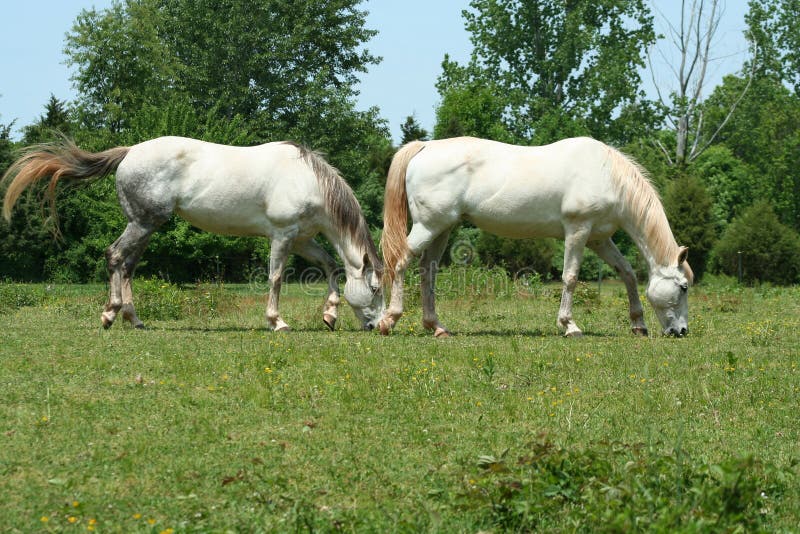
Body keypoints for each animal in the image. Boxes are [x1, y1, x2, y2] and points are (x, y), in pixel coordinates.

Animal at [2, 136, 385, 331]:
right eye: (376, 289)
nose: (379, 326)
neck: (306, 179)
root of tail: (129, 152)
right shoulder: (283, 236)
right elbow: (276, 278)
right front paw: (277, 322)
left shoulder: (303, 238)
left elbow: (330, 267)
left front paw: (330, 314)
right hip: (143, 223)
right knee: (115, 257)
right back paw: (110, 314)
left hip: (145, 227)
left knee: (127, 267)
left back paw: (134, 319)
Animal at [379, 136, 693, 338]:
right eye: (683, 287)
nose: (681, 331)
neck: (607, 175)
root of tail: (425, 147)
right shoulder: (578, 231)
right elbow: (570, 277)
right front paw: (569, 326)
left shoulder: (598, 239)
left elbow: (626, 272)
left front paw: (638, 324)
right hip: (428, 227)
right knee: (400, 263)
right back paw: (389, 321)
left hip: (441, 229)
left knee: (427, 270)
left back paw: (437, 327)